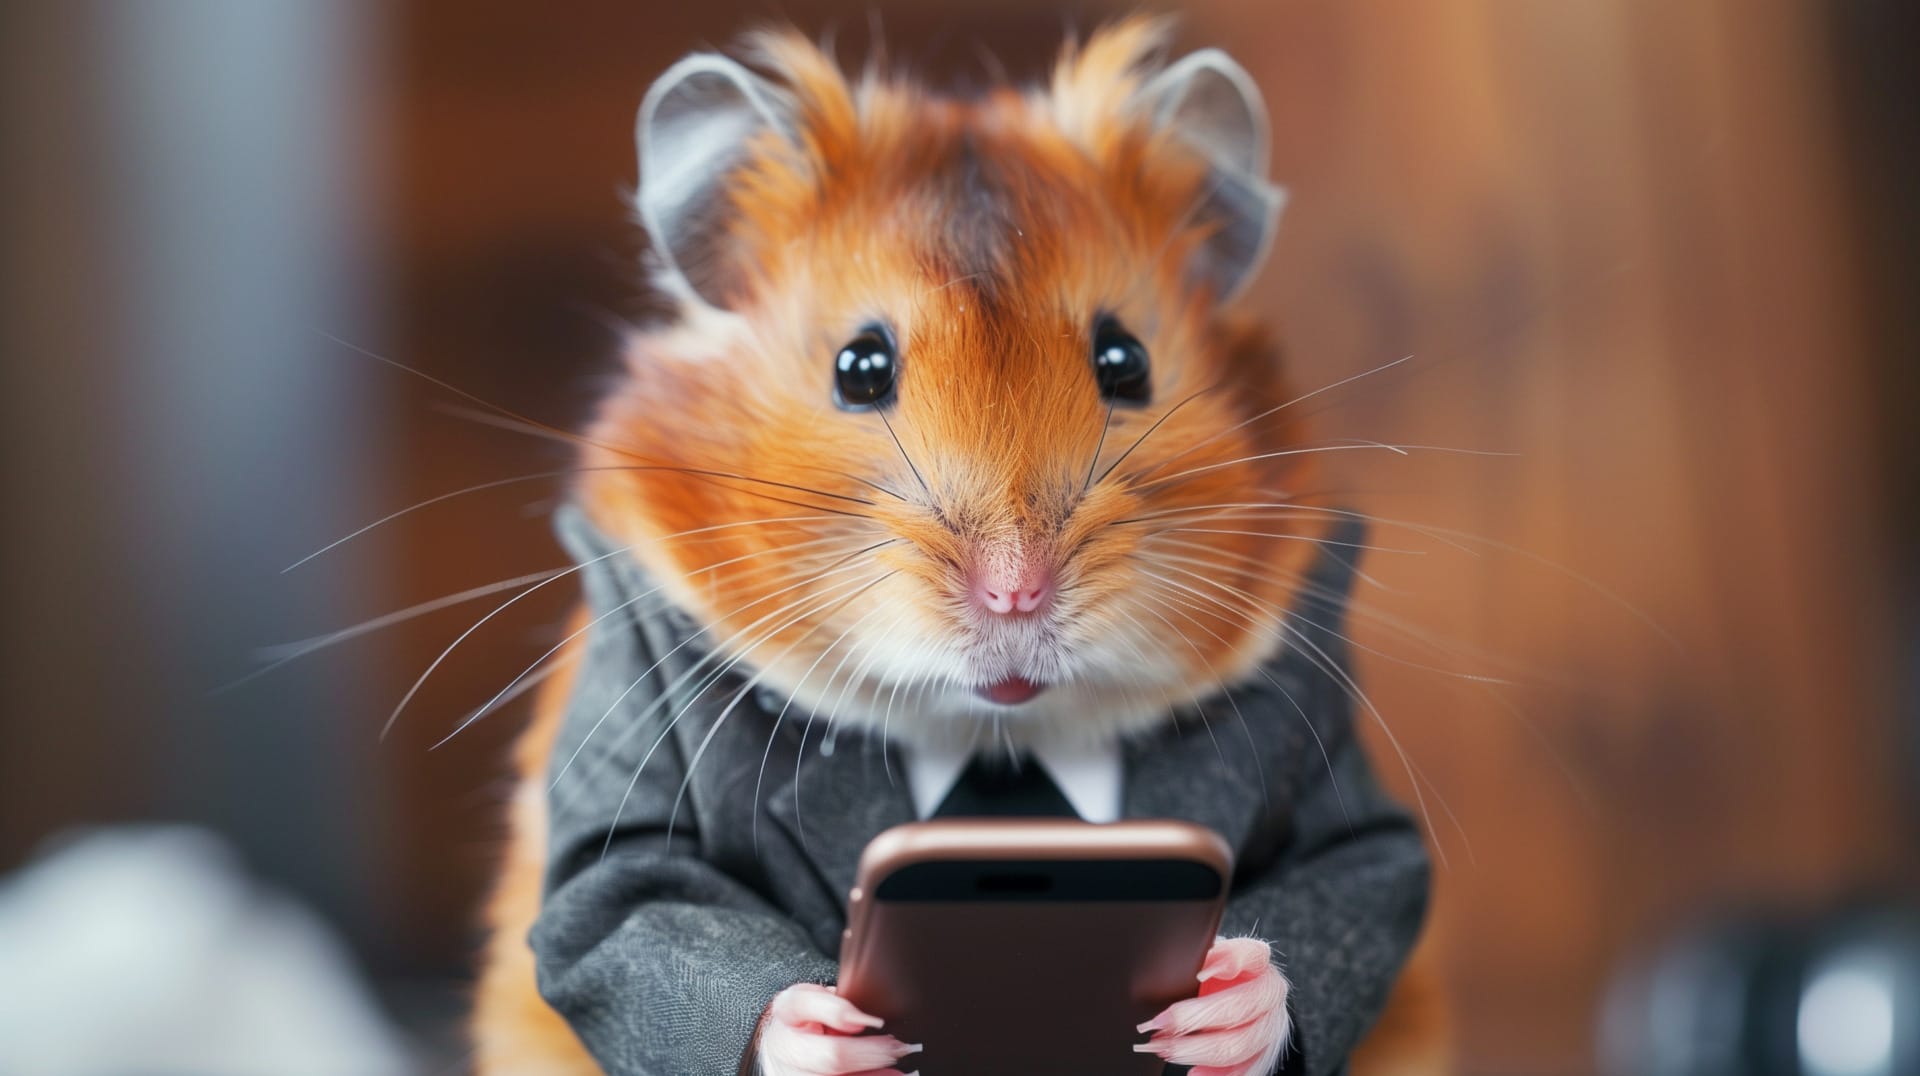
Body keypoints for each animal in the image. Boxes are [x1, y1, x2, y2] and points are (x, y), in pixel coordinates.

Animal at [472, 18, 1448, 1076]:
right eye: (859, 368)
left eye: (1126, 361)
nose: (1016, 593)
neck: (998, 738)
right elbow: (632, 893)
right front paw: (825, 1030)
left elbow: (1356, 869)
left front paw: (1229, 1001)